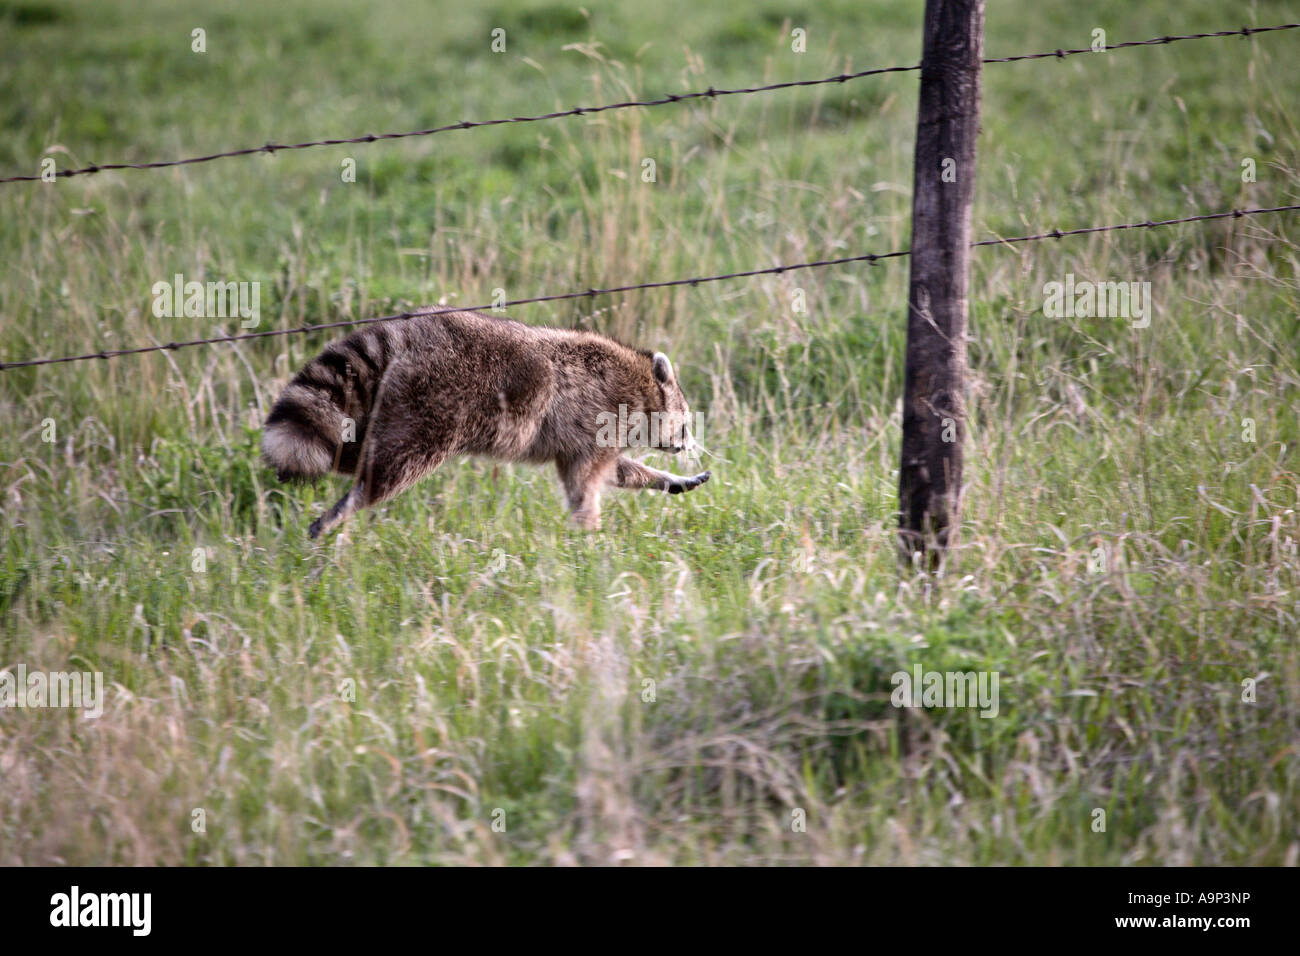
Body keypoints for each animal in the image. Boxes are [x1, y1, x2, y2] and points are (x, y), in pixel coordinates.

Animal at [261, 309, 711, 537]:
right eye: (686, 425)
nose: (689, 446)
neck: (644, 387)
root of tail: (414, 330)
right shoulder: (603, 418)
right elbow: (585, 483)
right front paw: (589, 535)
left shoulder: (583, 439)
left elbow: (613, 471)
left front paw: (663, 478)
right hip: (432, 406)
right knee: (392, 469)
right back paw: (347, 504)